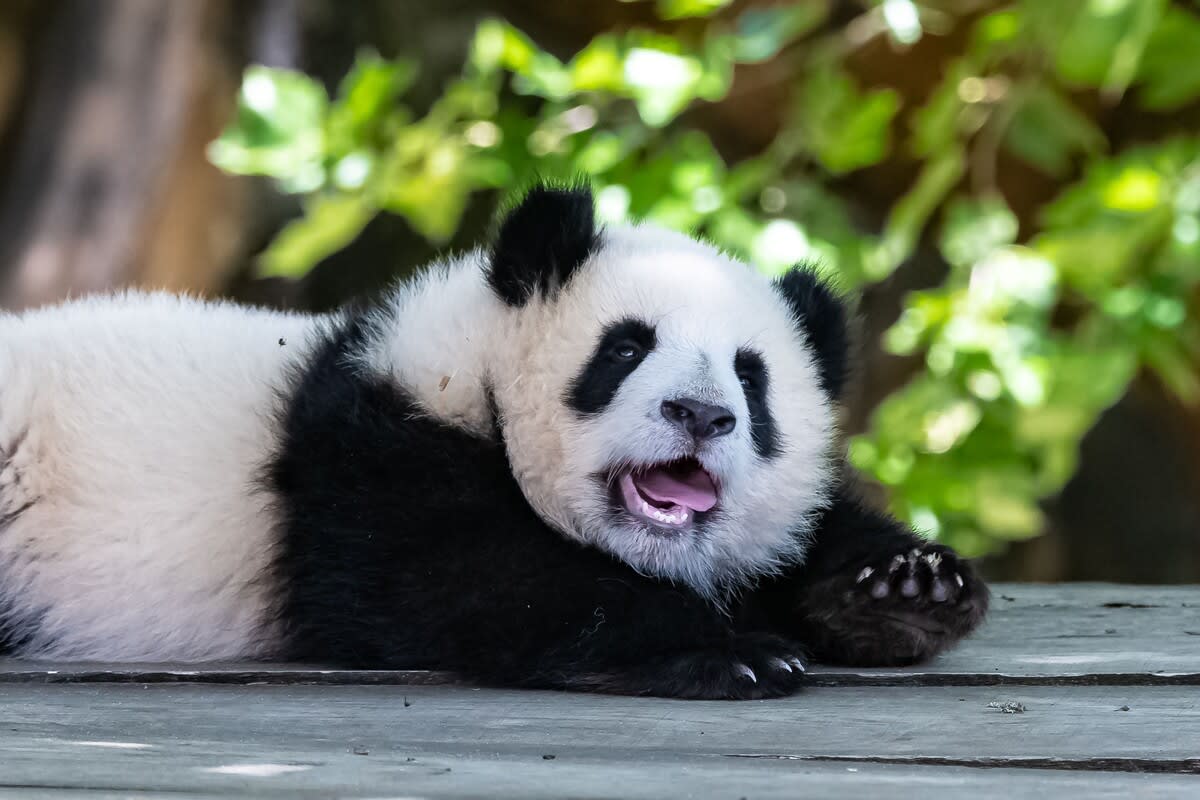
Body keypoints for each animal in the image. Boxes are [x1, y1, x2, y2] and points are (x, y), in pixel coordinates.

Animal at [0, 183, 987, 699]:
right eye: (626, 348)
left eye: (751, 378)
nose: (701, 415)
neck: (472, 366)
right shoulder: (374, 454)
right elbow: (468, 582)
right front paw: (730, 650)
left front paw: (902, 588)